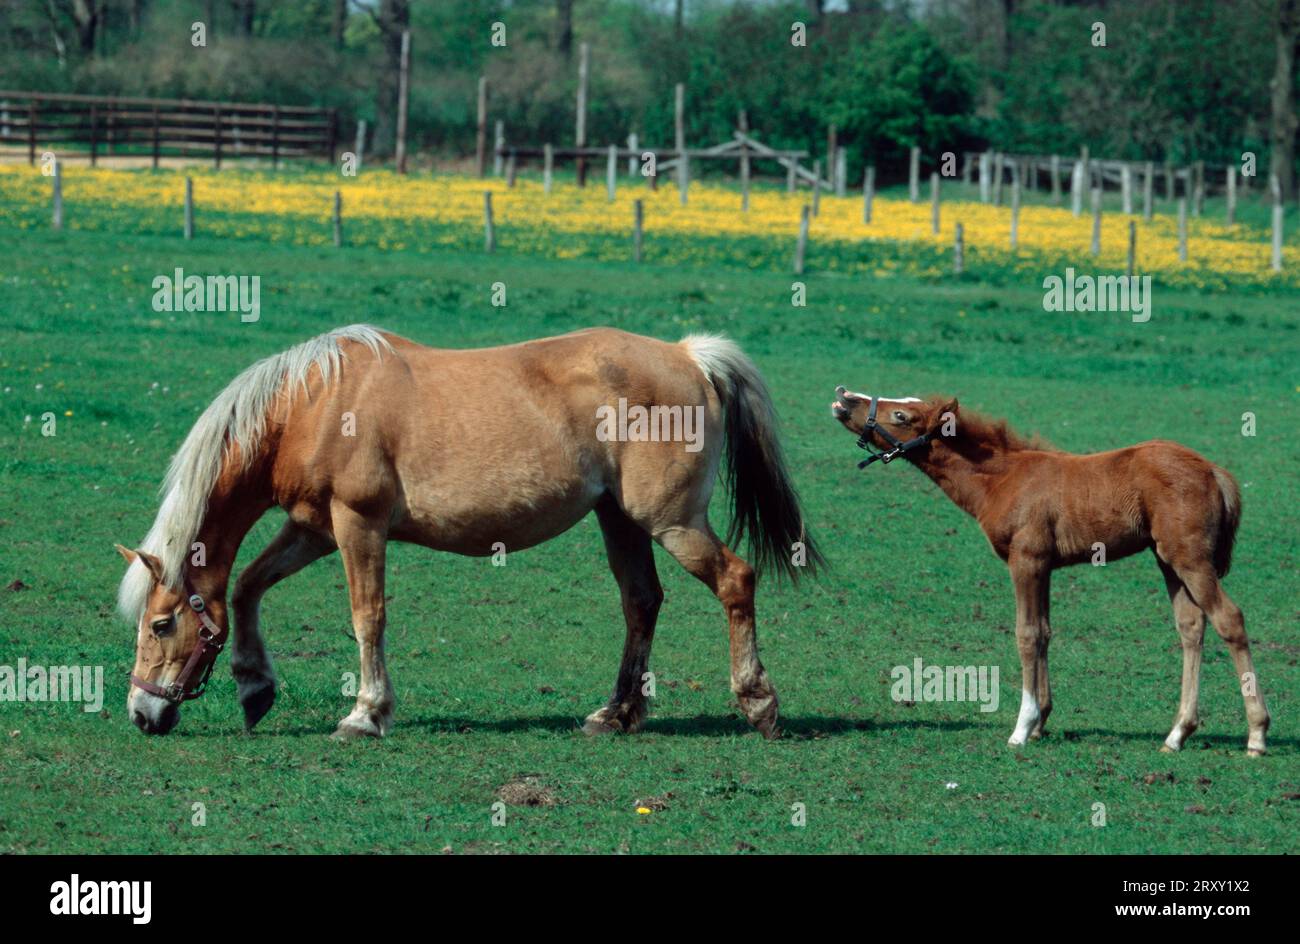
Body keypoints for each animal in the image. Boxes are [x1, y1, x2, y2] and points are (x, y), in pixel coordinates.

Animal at [116, 325, 821, 739]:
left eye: (160, 625)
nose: (142, 714)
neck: (311, 406)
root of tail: (687, 356)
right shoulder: (314, 527)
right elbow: (246, 588)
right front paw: (255, 686)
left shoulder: (357, 524)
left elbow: (367, 616)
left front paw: (365, 713)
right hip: (619, 518)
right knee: (642, 602)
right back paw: (616, 713)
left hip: (669, 521)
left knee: (735, 580)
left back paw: (758, 702)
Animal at [830, 387, 1269, 756]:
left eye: (901, 415)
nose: (843, 397)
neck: (1001, 479)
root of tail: (1214, 471)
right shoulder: (1044, 566)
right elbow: (1044, 632)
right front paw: (1041, 720)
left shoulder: (1026, 559)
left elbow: (1026, 635)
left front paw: (1022, 728)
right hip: (1167, 559)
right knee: (1191, 626)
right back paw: (1177, 733)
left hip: (1190, 558)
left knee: (1229, 618)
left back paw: (1256, 734)